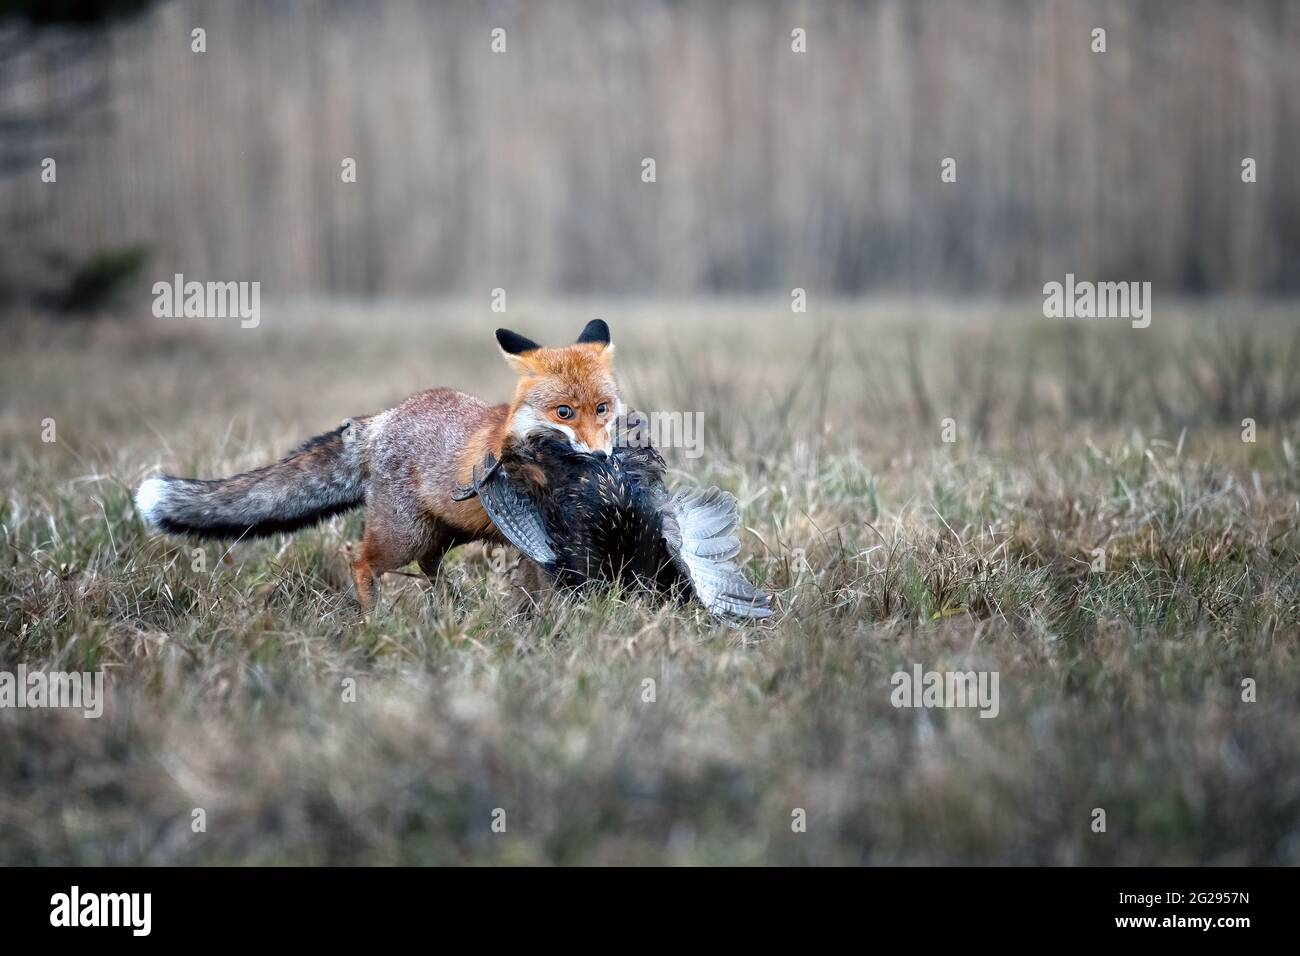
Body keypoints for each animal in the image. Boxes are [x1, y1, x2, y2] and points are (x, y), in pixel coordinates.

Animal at [135, 319, 623, 612]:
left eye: (602, 409)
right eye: (564, 412)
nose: (601, 457)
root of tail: (382, 419)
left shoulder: (539, 541)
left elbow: (539, 589)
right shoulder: (532, 528)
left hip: (443, 532)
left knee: (428, 567)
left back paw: (447, 605)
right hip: (404, 536)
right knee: (361, 560)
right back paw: (374, 618)